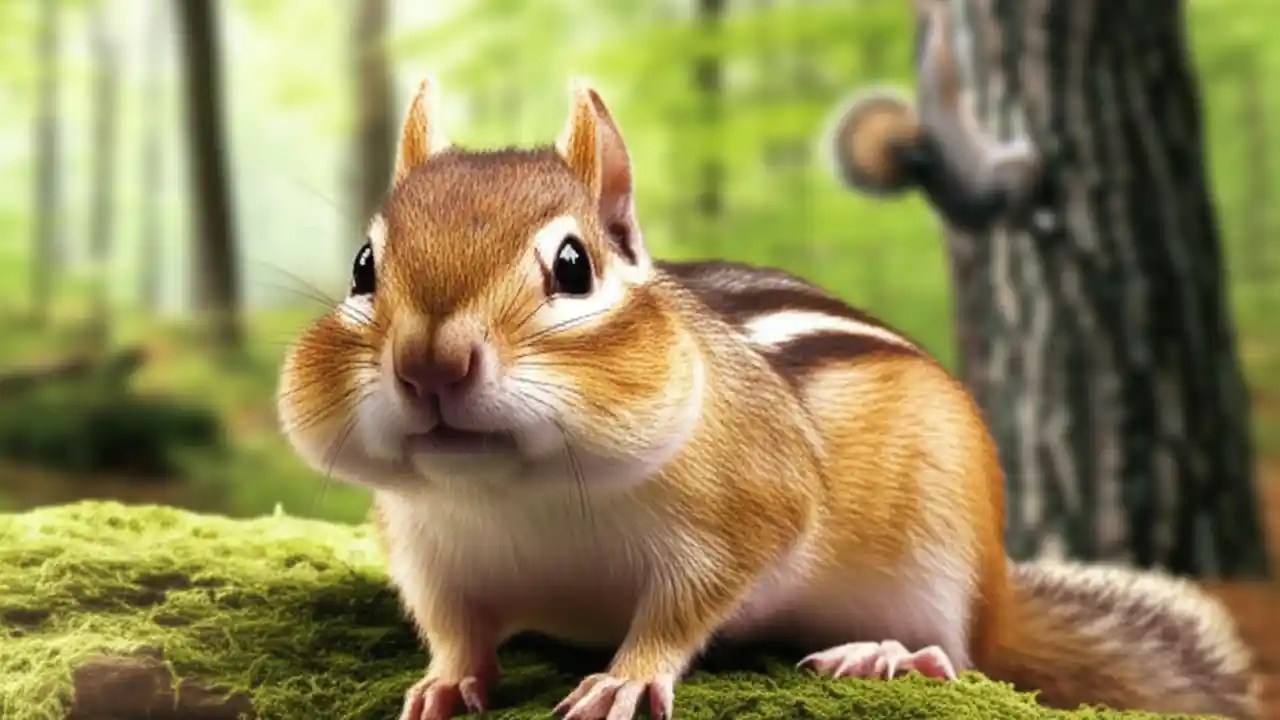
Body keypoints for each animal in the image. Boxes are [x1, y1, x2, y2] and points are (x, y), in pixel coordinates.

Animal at [276, 74, 1260, 720]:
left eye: (573, 265)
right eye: (364, 267)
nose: (430, 364)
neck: (518, 495)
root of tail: (998, 597)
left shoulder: (745, 510)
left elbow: (684, 606)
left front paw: (627, 674)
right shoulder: (428, 549)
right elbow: (451, 626)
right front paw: (447, 678)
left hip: (938, 565)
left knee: (957, 653)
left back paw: (885, 651)